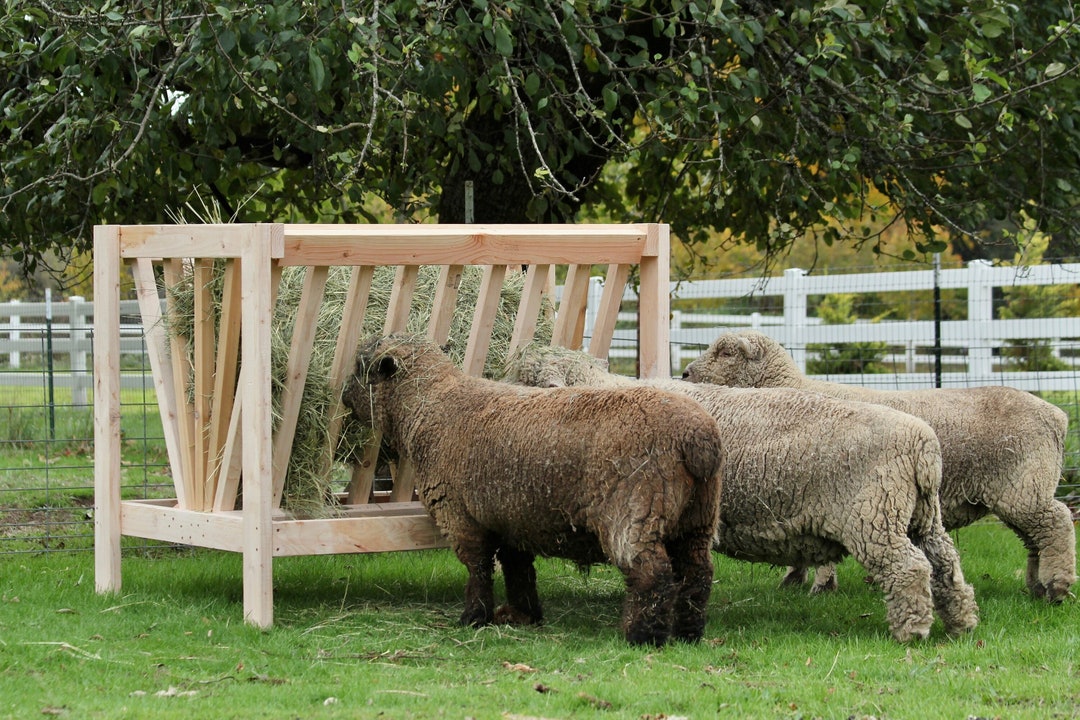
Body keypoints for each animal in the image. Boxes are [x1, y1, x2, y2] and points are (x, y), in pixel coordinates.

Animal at [341, 335, 723, 647]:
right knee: (698, 573)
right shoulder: (511, 517)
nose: (343, 397)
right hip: (699, 516)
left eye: (361, 367)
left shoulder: (459, 514)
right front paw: (524, 615)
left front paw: (474, 617)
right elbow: (518, 568)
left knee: (651, 573)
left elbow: (478, 568)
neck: (431, 406)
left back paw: (643, 636)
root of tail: (699, 439)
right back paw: (688, 632)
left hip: (634, 508)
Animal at [504, 344, 980, 642]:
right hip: (921, 515)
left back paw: (912, 630)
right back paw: (962, 622)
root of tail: (923, 446)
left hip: (873, 517)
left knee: (910, 569)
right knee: (945, 563)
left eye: (524, 378)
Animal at [683, 329, 1077, 603]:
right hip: (1018, 490)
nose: (685, 374)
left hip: (1024, 487)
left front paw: (820, 584)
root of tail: (1057, 416)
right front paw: (797, 577)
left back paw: (1057, 586)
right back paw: (1038, 585)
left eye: (726, 351)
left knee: (1058, 522)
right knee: (1037, 537)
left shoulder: (825, 492)